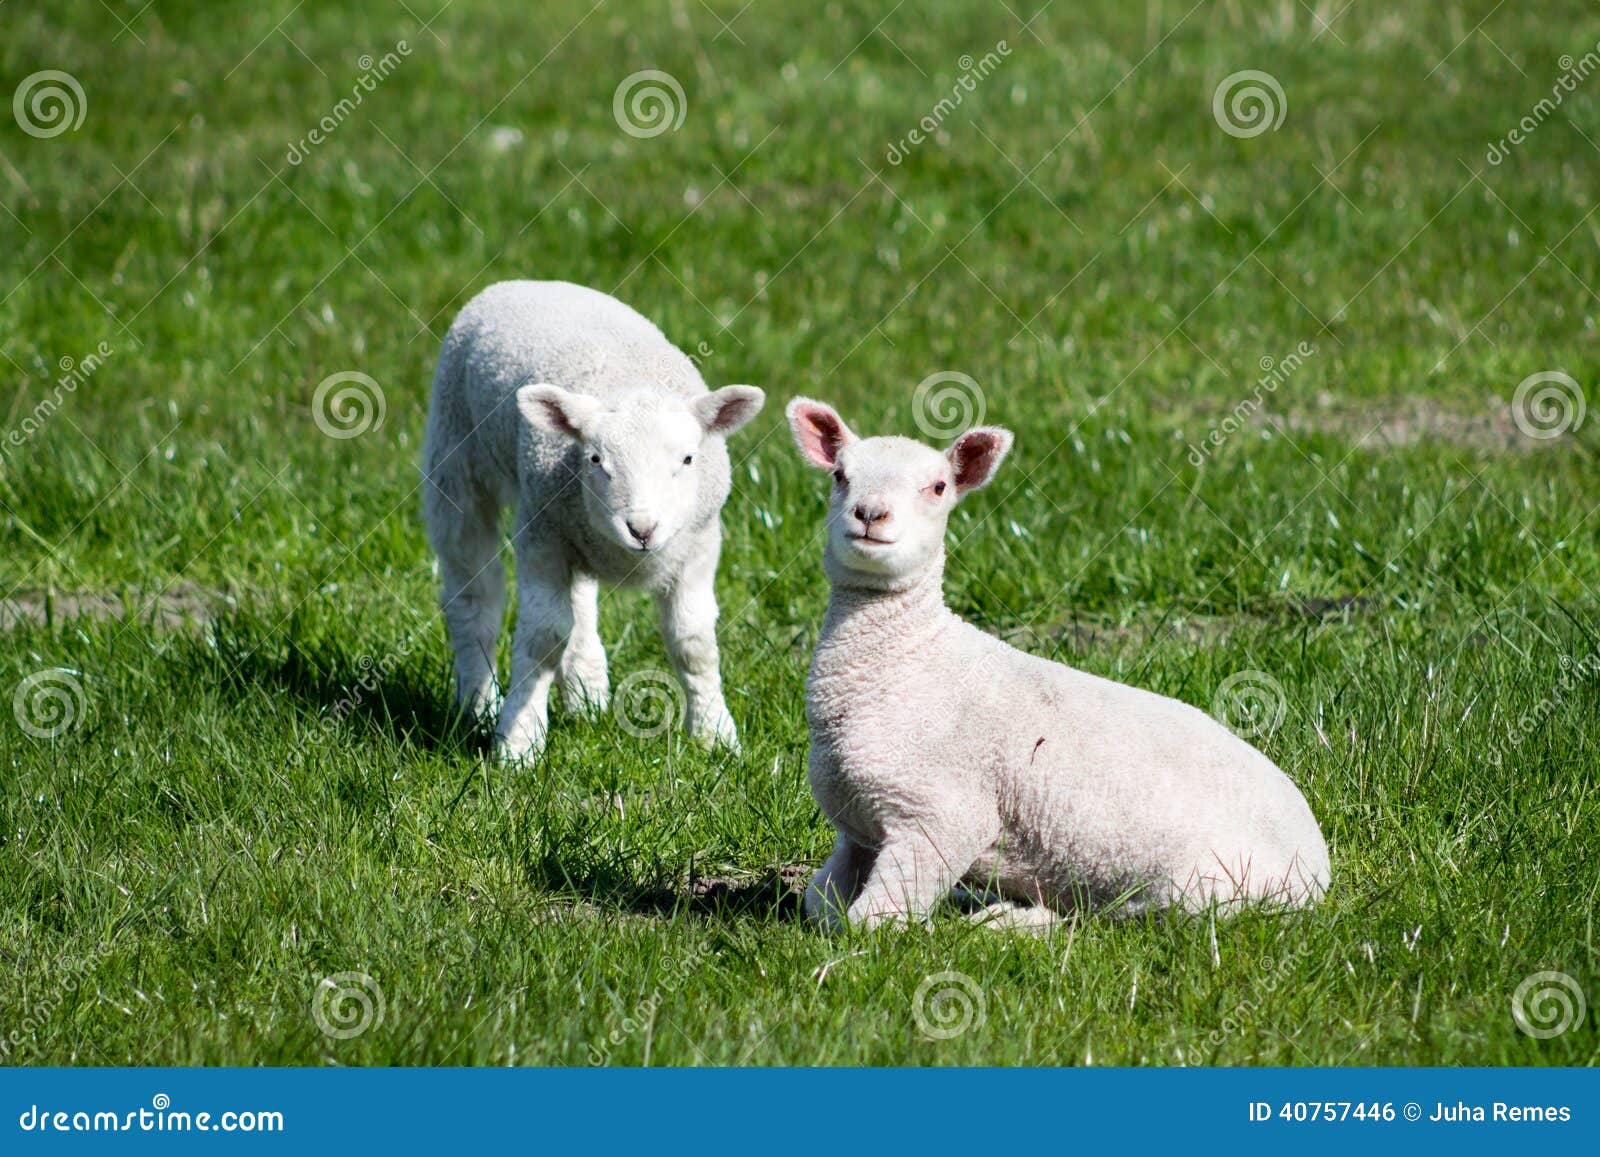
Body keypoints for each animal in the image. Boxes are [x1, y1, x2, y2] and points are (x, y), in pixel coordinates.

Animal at [421, 280, 764, 763]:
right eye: (596, 460)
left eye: (688, 459)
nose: (642, 529)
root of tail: (523, 282)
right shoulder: (539, 534)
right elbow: (543, 636)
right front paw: (518, 744)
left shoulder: (699, 544)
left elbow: (693, 640)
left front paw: (715, 736)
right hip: (455, 458)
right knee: (474, 597)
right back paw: (478, 704)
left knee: (580, 604)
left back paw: (586, 693)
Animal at [784, 397, 1331, 930]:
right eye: (839, 476)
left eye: (938, 487)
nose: (870, 513)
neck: (907, 658)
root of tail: (1319, 867)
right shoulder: (860, 828)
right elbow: (820, 904)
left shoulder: (937, 815)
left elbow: (871, 923)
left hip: (1209, 889)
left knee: (1129, 917)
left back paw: (1014, 919)